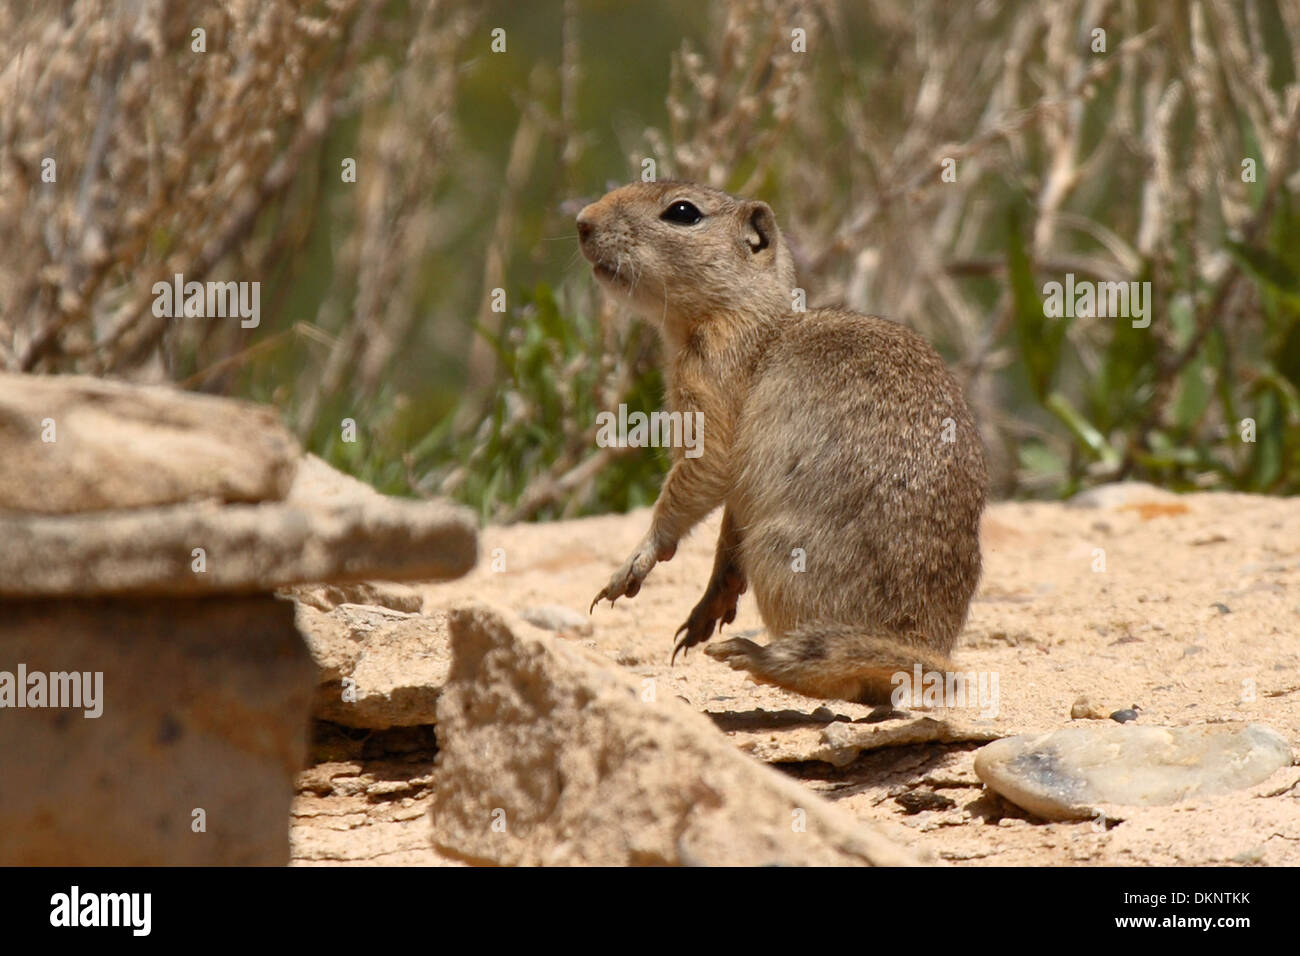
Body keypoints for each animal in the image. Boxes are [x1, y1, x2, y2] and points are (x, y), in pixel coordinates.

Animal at [577, 181, 987, 704]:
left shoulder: (711, 395)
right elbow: (727, 532)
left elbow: (695, 479)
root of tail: (922, 645)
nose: (582, 221)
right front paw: (708, 606)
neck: (747, 317)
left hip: (779, 552)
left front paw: (632, 565)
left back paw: (754, 656)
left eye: (683, 212)